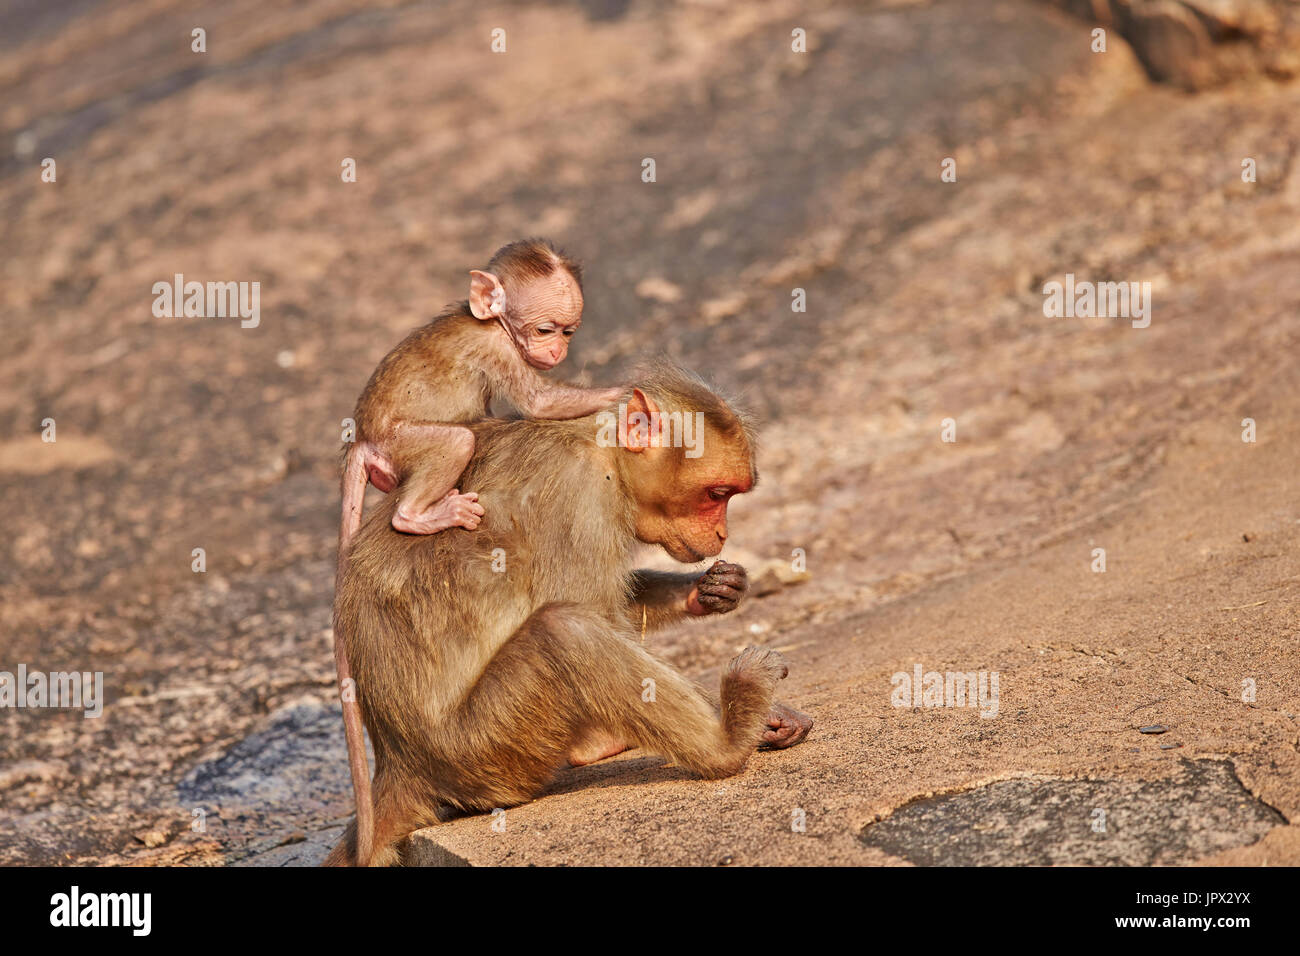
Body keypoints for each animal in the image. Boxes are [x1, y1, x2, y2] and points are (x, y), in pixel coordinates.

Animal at [324, 365, 813, 866]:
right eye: (716, 494)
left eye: (729, 496)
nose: (722, 533)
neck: (602, 446)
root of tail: (398, 766)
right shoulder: (580, 491)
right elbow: (596, 612)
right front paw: (766, 717)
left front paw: (708, 591)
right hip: (482, 751)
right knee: (566, 629)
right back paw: (724, 742)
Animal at [333, 238, 623, 856]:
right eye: (544, 328)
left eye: (568, 330)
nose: (556, 349)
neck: (494, 324)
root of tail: (363, 439)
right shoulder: (500, 351)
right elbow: (537, 404)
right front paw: (622, 390)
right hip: (402, 444)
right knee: (457, 441)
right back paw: (420, 516)